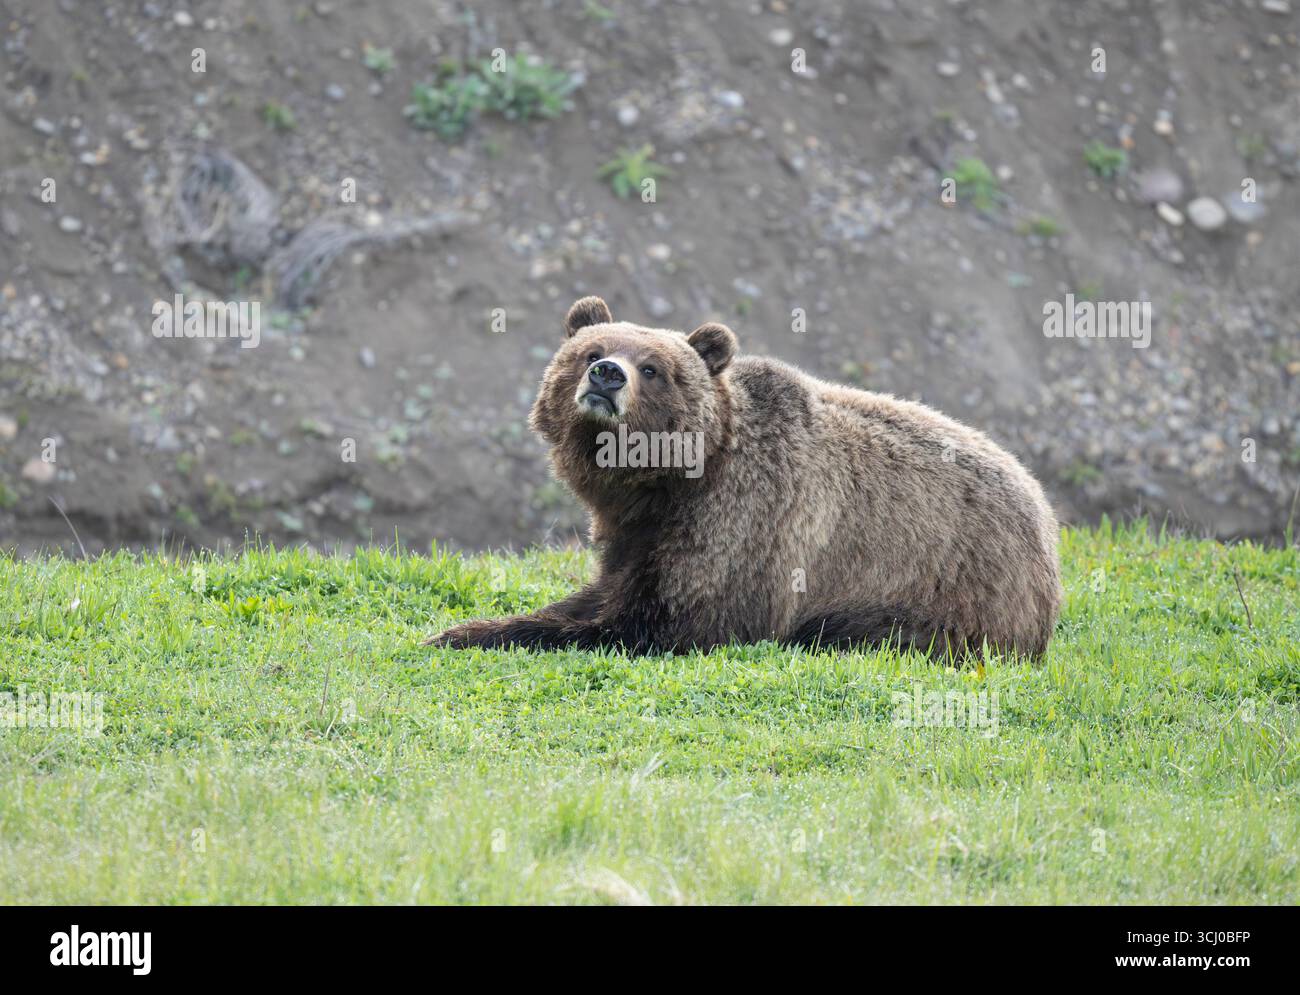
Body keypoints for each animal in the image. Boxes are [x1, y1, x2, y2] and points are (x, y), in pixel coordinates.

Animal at [425, 295, 1063, 659]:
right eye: (591, 348)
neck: (663, 485)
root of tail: (1043, 512)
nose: (607, 374)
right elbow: (598, 594)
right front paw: (463, 627)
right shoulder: (636, 536)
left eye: (652, 367)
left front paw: (478, 635)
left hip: (950, 590)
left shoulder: (742, 522)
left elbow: (669, 621)